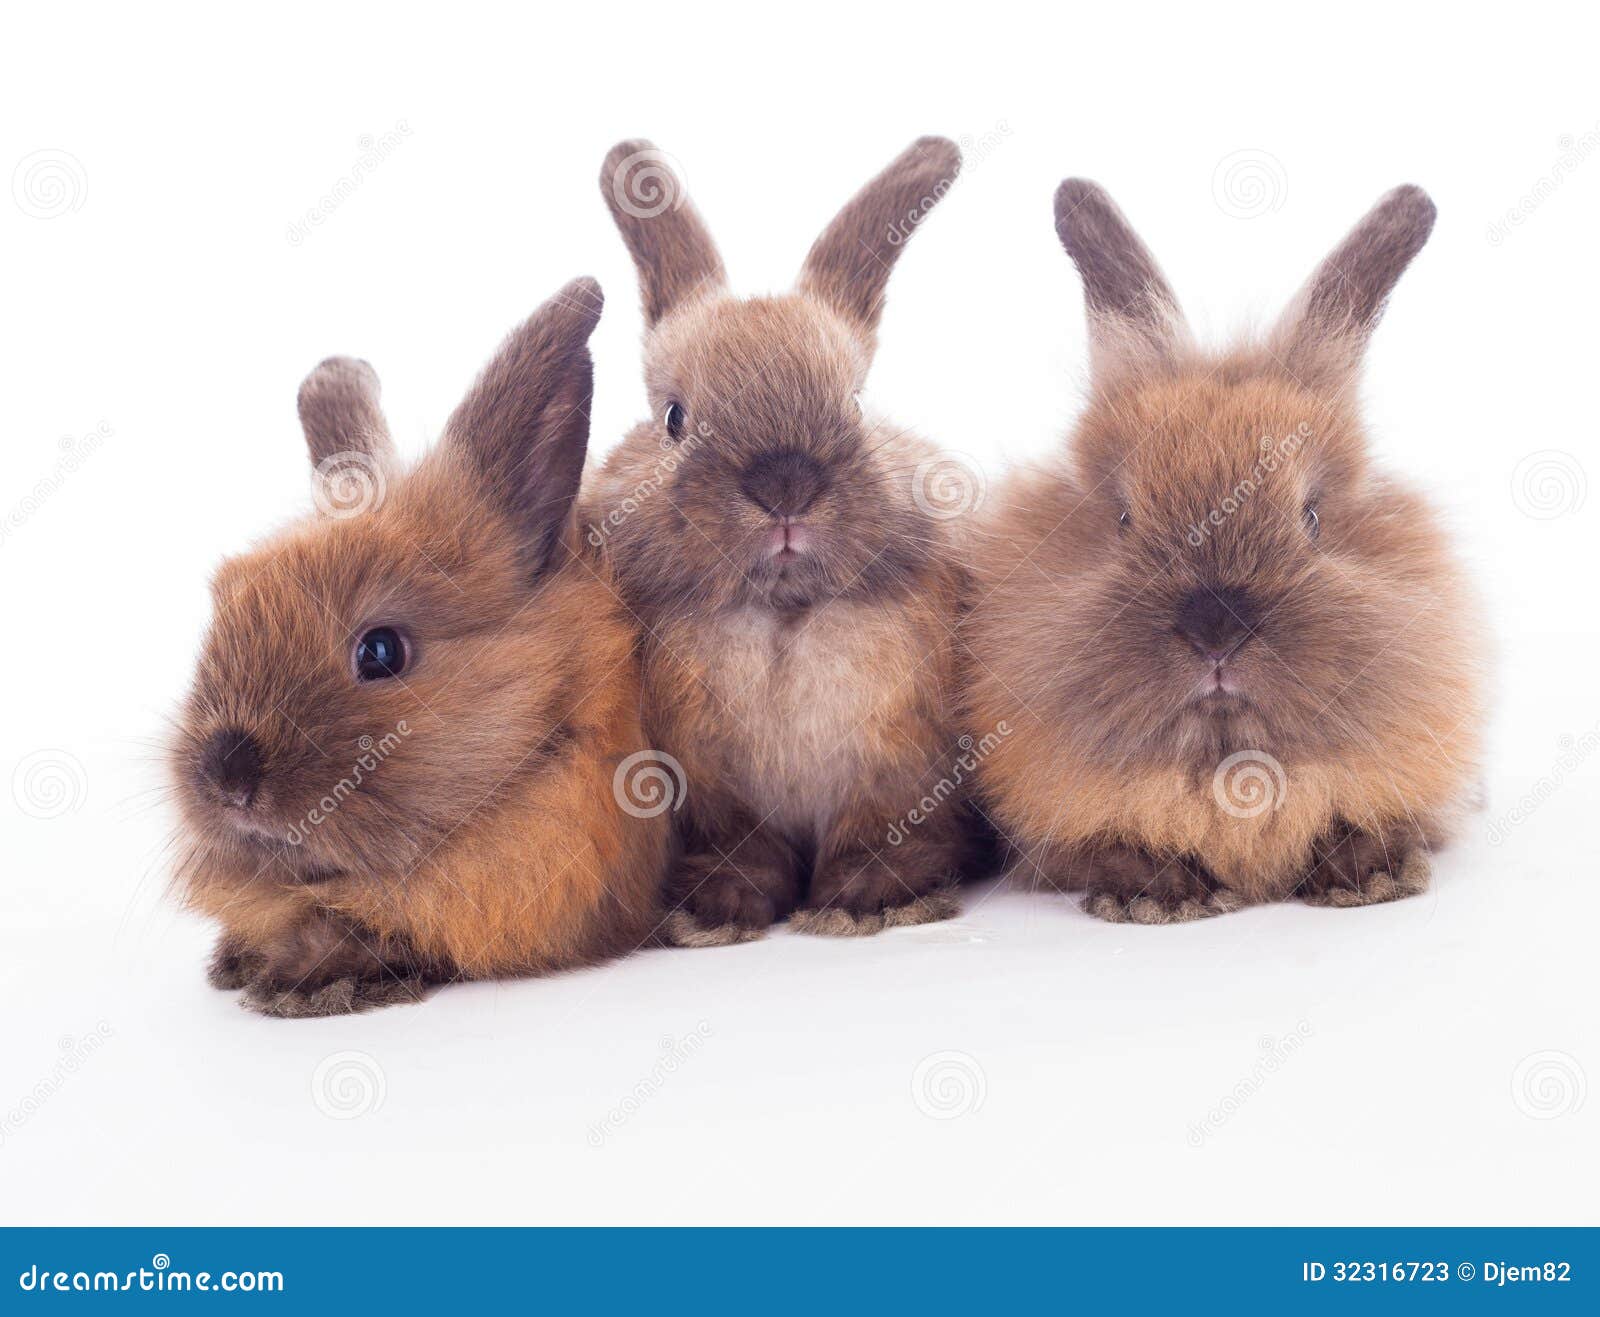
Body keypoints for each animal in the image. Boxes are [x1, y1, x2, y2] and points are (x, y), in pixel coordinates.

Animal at [585, 137, 979, 944]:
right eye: (674, 418)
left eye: (854, 405)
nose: (786, 484)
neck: (782, 614)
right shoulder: (714, 791)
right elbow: (744, 849)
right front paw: (717, 907)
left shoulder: (895, 774)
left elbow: (882, 834)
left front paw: (869, 899)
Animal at [963, 180, 1486, 922]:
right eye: (1123, 517)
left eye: (1312, 516)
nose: (1216, 629)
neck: (1227, 767)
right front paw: (1157, 897)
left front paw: (1367, 881)